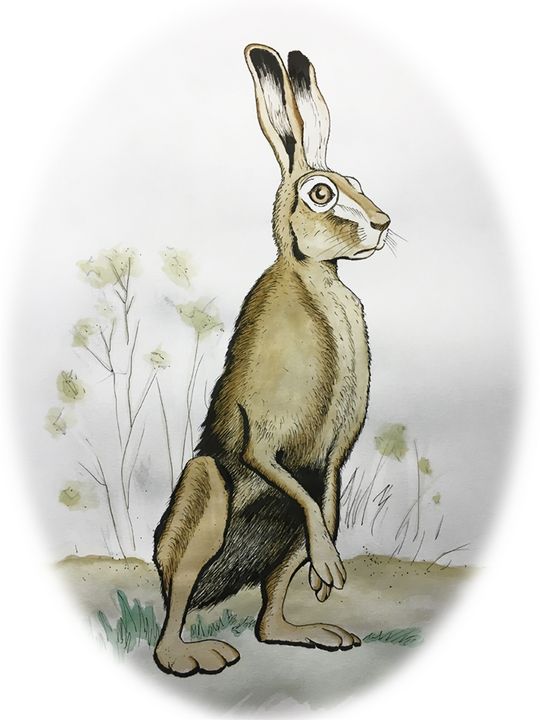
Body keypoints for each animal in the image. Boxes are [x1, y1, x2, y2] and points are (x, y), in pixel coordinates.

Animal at [153, 43, 391, 677]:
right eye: (322, 193)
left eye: (356, 182)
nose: (382, 224)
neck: (317, 279)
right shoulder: (261, 436)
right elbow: (266, 460)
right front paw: (331, 568)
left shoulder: (331, 459)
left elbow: (323, 499)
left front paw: (328, 572)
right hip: (204, 493)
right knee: (177, 597)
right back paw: (191, 656)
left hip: (280, 544)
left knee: (270, 612)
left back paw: (317, 629)